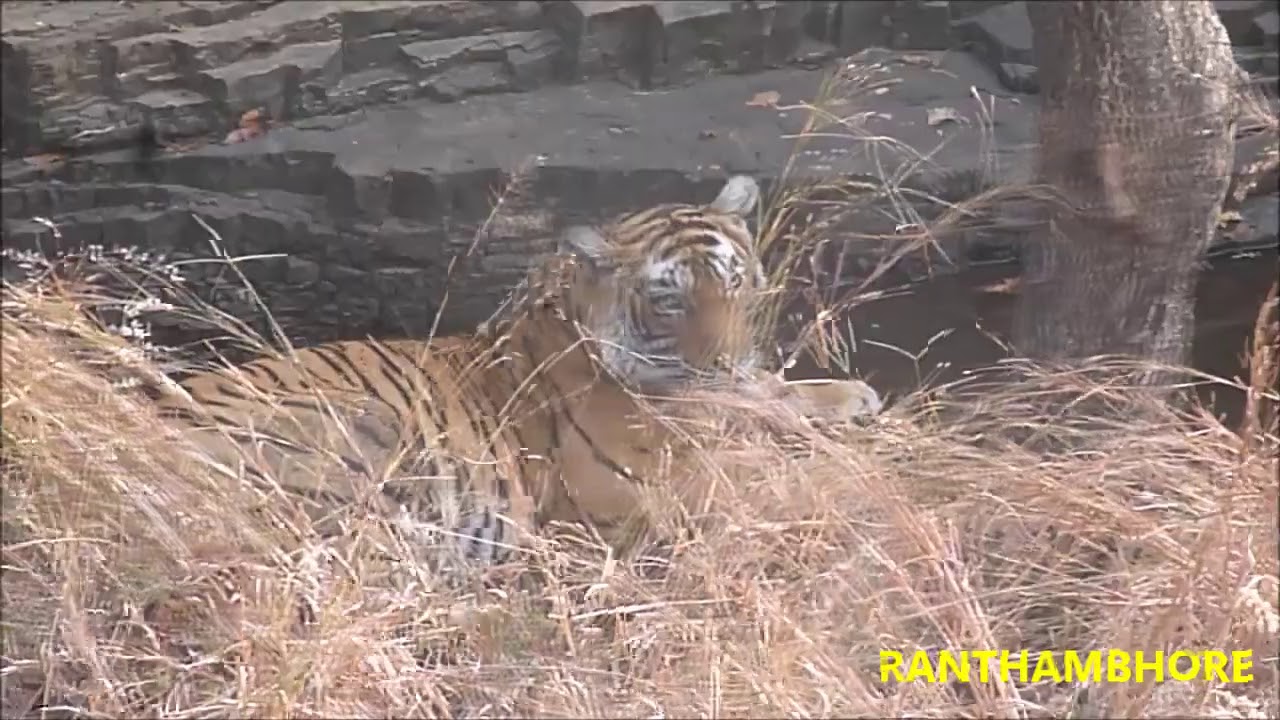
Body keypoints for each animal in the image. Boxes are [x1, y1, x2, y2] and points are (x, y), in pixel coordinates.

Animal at [155, 174, 882, 577]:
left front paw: (851, 396)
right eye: (670, 299)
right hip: (358, 434)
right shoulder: (646, 486)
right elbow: (766, 474)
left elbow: (773, 399)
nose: (727, 361)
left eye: (735, 281)